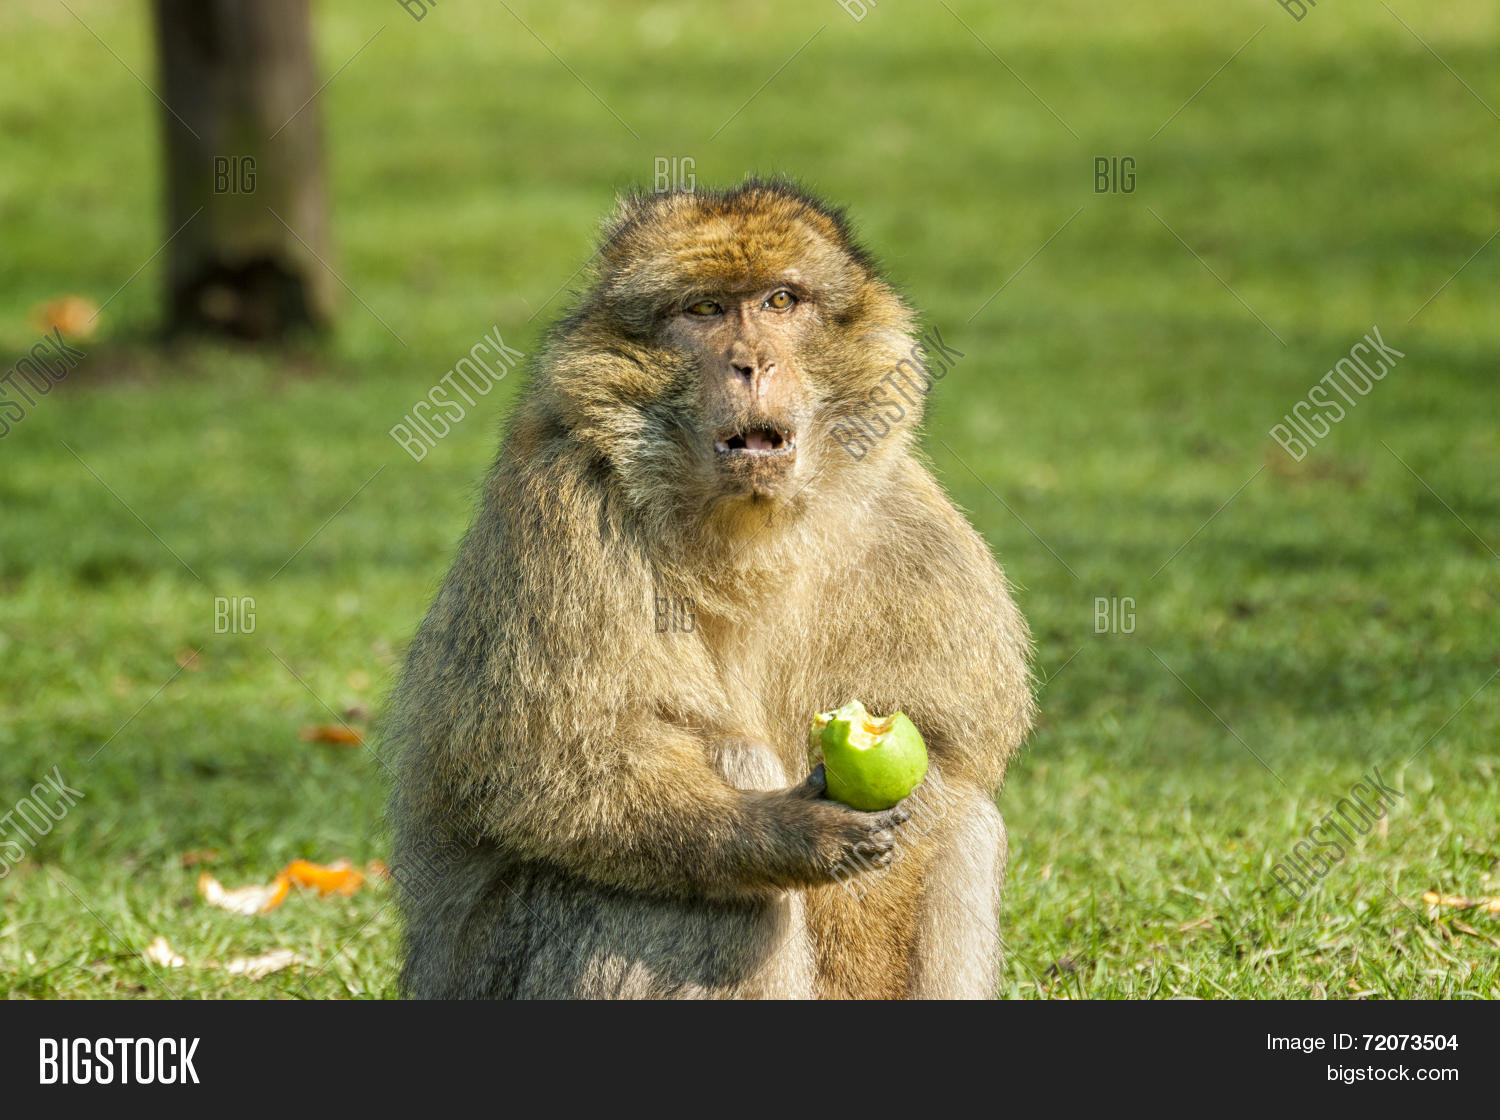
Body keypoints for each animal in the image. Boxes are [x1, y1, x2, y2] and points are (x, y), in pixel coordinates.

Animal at [386, 177, 1034, 999]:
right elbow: (537, 763)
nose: (751, 363)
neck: (749, 528)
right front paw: (783, 835)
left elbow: (949, 758)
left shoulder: (909, 521)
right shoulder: (562, 509)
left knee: (965, 819)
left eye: (780, 301)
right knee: (720, 795)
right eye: (705, 310)